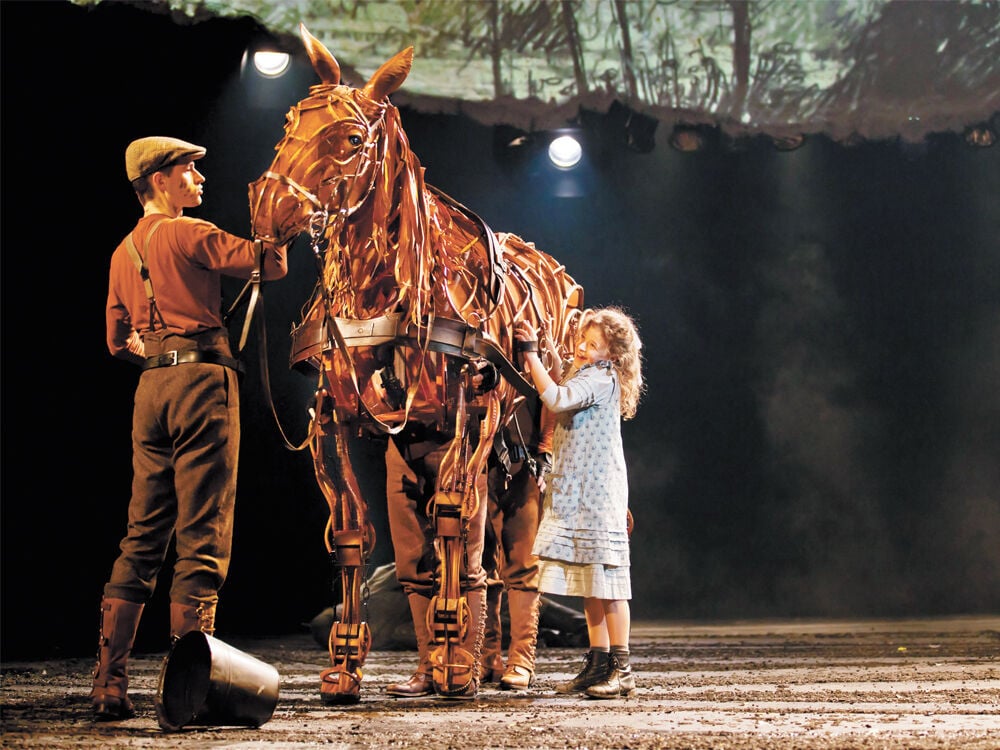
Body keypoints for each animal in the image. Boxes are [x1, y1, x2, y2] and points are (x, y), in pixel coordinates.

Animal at [249, 24, 583, 704]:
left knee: (515, 559)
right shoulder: (331, 420)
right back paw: (459, 665)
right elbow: (355, 532)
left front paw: (454, 659)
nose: (267, 207)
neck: (385, 296)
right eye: (291, 121)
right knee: (450, 558)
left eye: (352, 139)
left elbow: (454, 521)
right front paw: (347, 664)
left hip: (528, 452)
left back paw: (508, 667)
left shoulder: (471, 414)